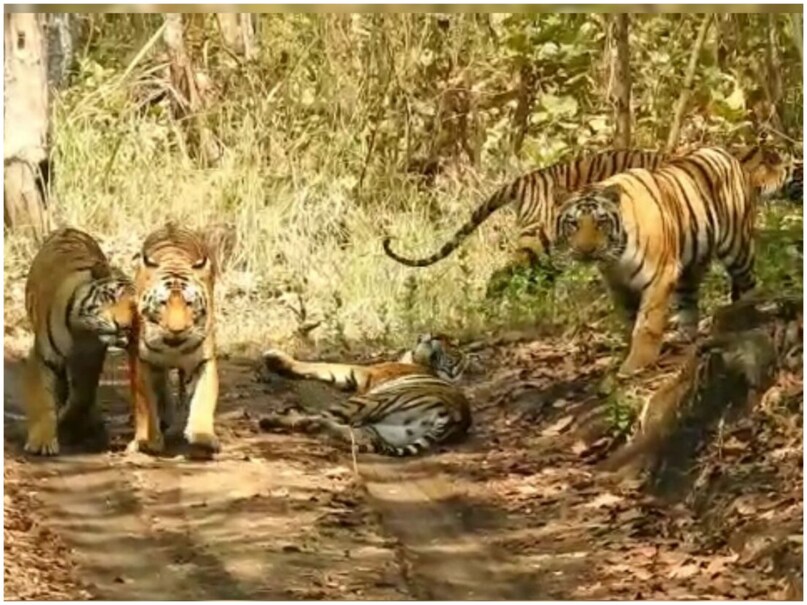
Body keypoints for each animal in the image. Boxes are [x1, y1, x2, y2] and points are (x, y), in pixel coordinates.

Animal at [22, 227, 137, 456]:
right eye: (111, 298)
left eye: (134, 308)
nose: (123, 326)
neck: (83, 330)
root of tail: (69, 228)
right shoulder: (43, 357)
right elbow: (42, 400)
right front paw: (42, 442)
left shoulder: (90, 360)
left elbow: (81, 397)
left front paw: (68, 422)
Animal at [129, 222, 219, 457]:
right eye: (163, 303)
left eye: (189, 303)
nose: (176, 330)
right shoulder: (143, 361)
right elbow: (145, 405)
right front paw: (148, 440)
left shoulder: (204, 360)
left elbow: (204, 397)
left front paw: (203, 436)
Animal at [258, 333, 471, 457]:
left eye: (451, 344)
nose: (431, 335)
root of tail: (456, 416)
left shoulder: (362, 372)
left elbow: (323, 365)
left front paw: (275, 357)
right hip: (387, 430)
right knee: (356, 435)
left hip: (370, 401)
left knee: (318, 417)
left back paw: (272, 419)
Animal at [552, 146, 757, 376]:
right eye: (573, 223)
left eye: (601, 222)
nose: (586, 249)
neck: (616, 258)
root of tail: (725, 152)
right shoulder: (618, 286)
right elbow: (629, 322)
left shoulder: (659, 275)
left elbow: (646, 324)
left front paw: (635, 364)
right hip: (689, 265)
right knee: (689, 300)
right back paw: (683, 338)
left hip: (737, 248)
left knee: (749, 283)